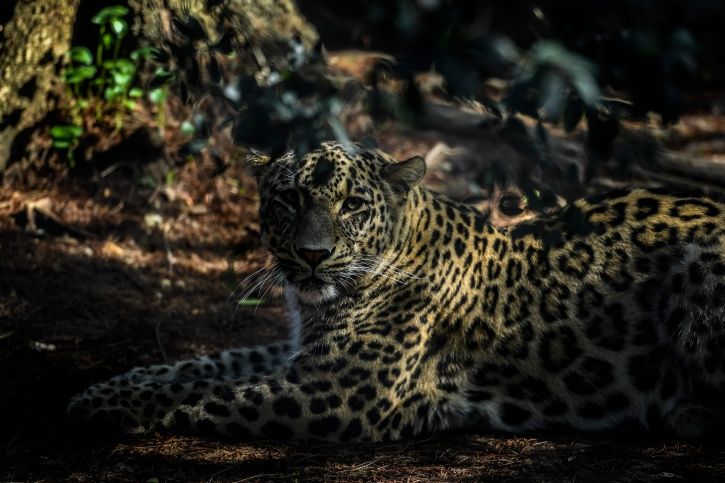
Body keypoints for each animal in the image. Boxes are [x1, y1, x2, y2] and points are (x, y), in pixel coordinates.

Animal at [68, 141, 725, 441]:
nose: (312, 256)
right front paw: (105, 388)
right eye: (289, 200)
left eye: (352, 206)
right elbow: (201, 366)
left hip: (701, 267)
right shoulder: (300, 355)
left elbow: (207, 396)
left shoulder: (333, 391)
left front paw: (110, 409)